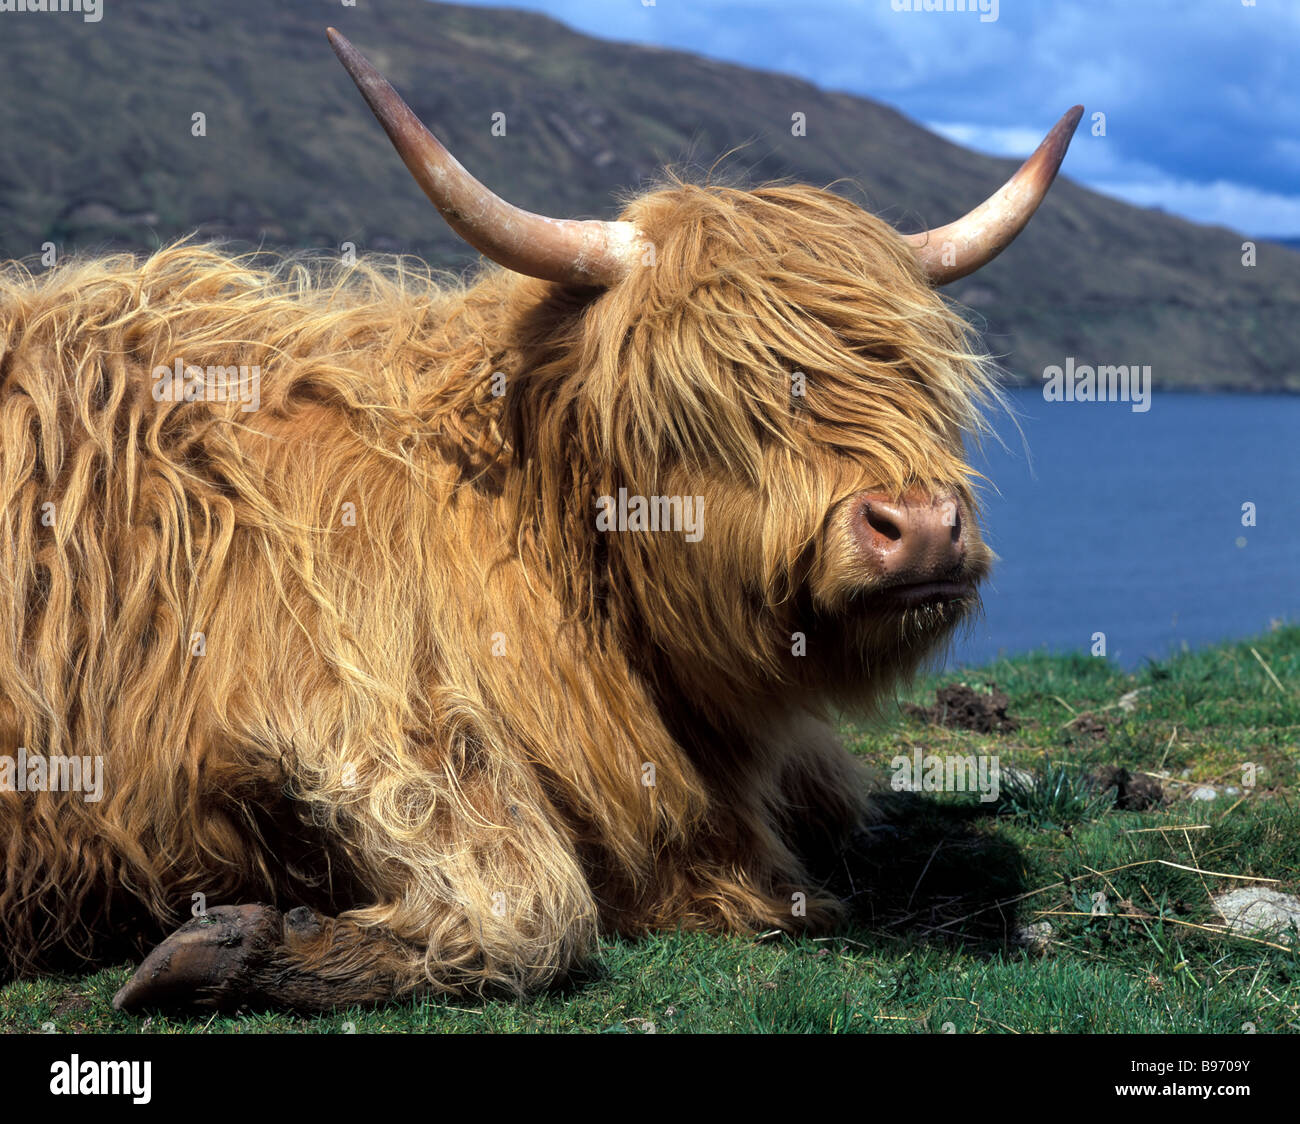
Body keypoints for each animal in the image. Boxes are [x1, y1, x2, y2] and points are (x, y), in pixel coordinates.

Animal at [0, 28, 1080, 1011]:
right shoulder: (342, 699)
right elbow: (533, 906)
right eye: (698, 397)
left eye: (916, 372)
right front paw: (236, 945)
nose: (921, 525)